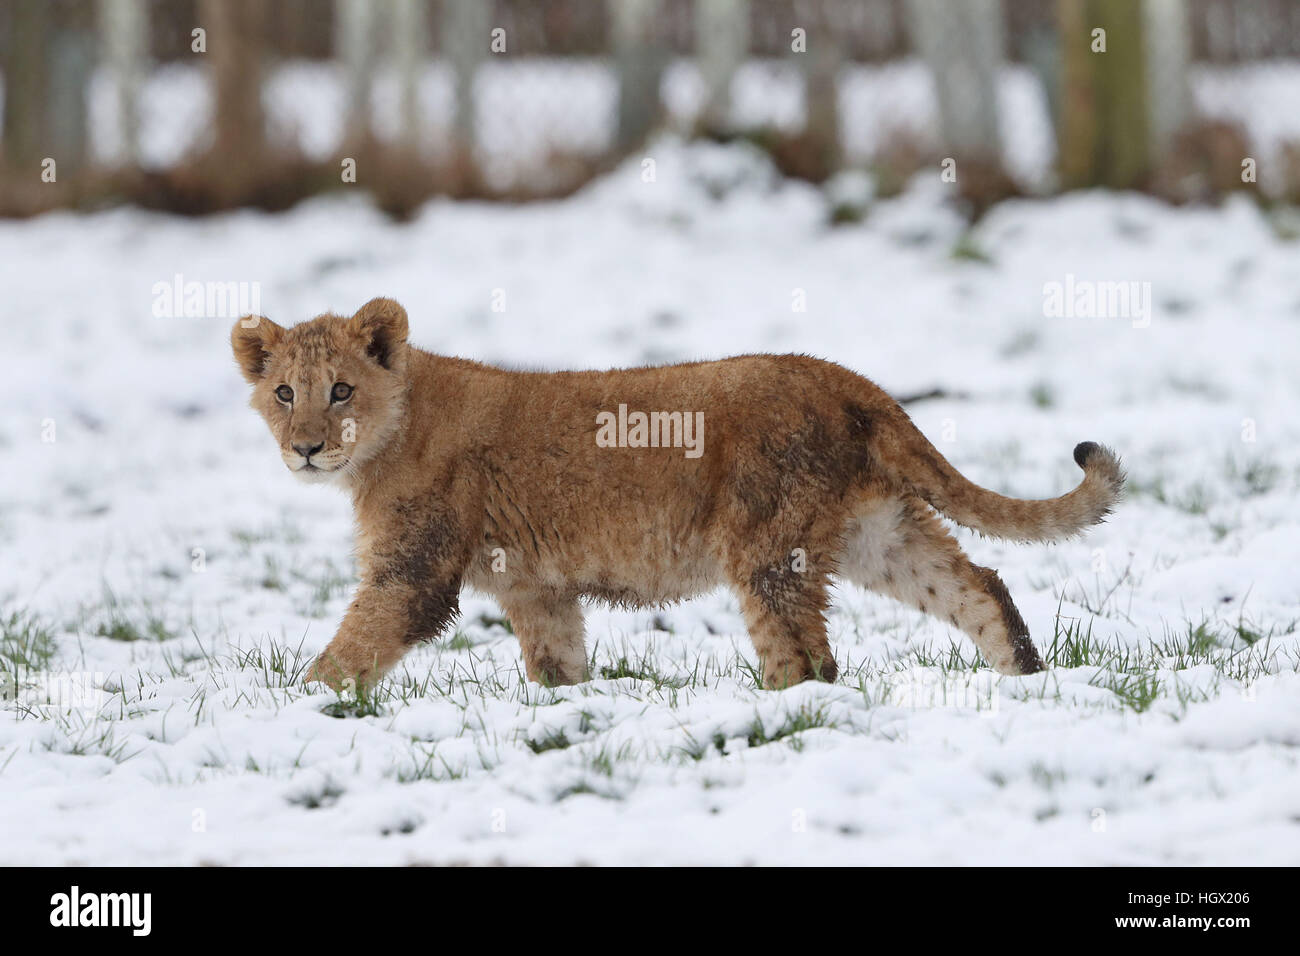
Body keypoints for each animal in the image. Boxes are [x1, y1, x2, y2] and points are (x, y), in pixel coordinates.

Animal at [231, 298, 1124, 690]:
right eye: (285, 393)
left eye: (341, 390)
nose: (306, 447)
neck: (390, 432)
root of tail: (848, 380)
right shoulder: (537, 587)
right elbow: (558, 664)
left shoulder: (412, 571)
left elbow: (350, 649)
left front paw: (301, 709)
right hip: (879, 532)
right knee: (978, 583)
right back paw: (1025, 678)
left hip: (765, 545)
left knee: (807, 656)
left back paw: (783, 715)